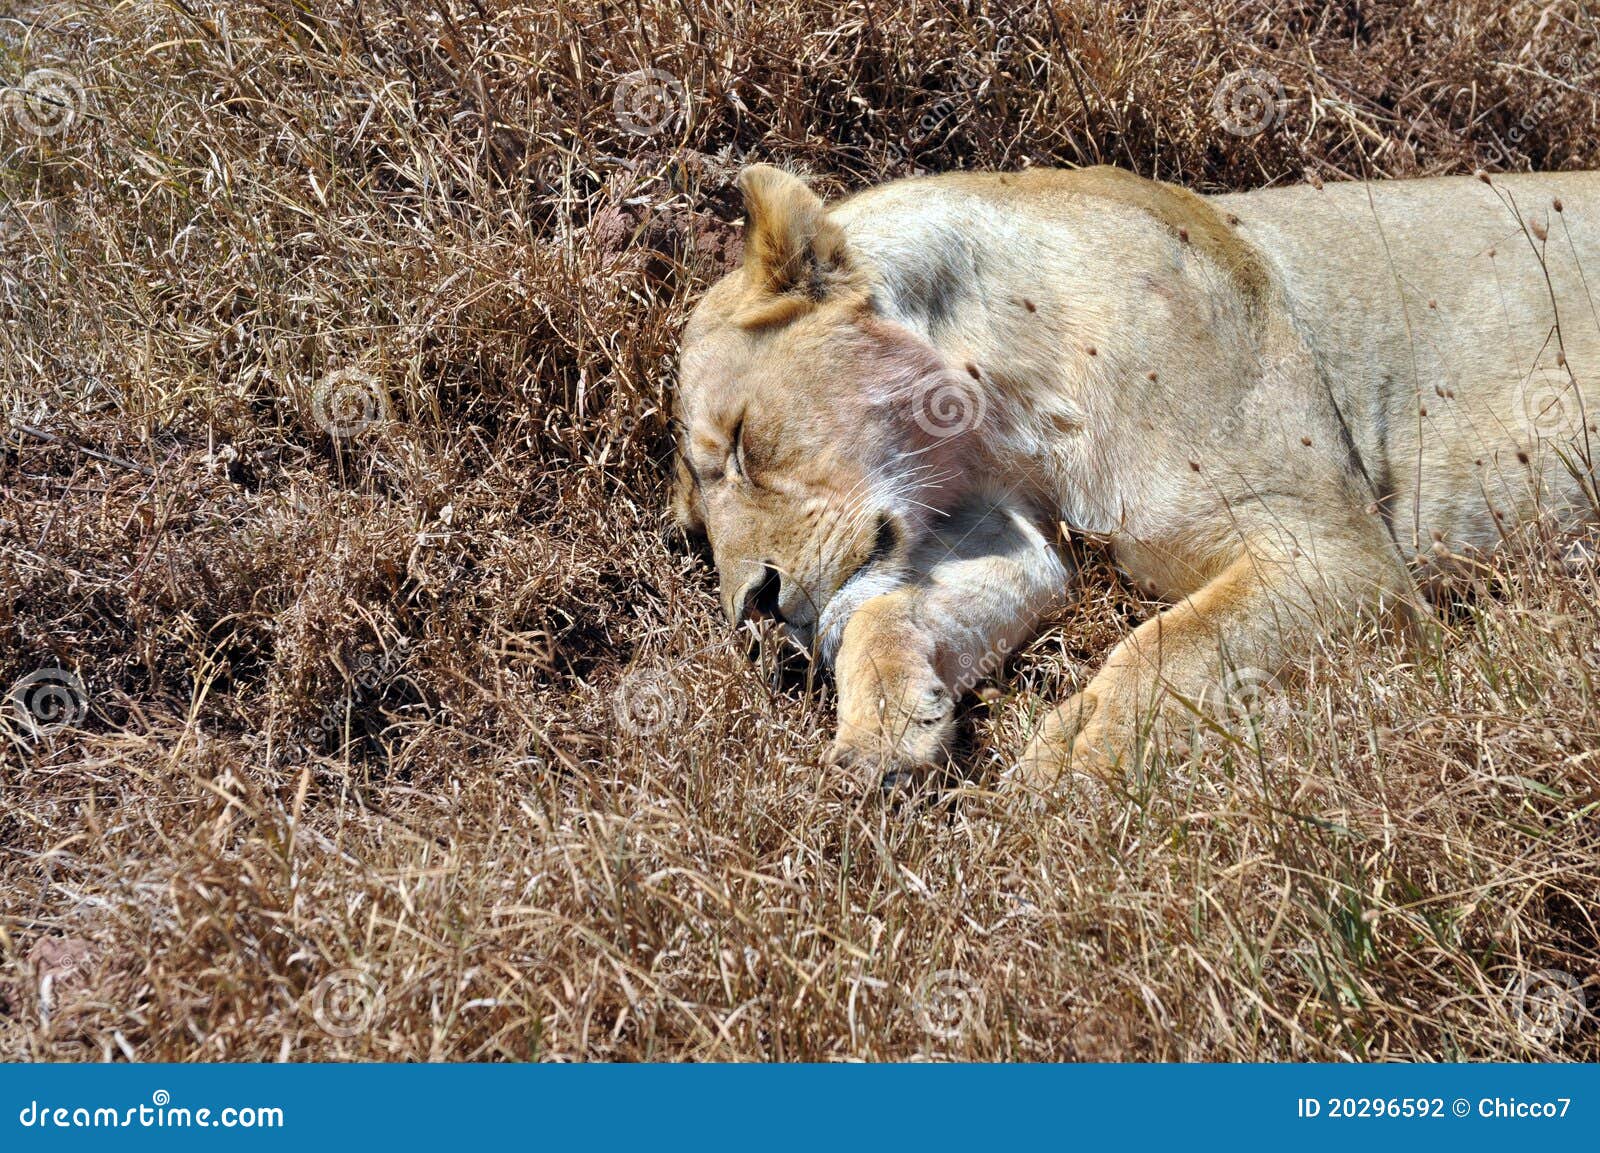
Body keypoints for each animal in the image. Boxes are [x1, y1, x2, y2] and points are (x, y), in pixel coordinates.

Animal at [672, 162, 1600, 790]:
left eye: (744, 443)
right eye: (695, 525)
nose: (754, 607)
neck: (1002, 403)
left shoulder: (1339, 552)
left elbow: (1172, 643)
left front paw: (1072, 756)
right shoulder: (1017, 534)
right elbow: (890, 612)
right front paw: (887, 736)